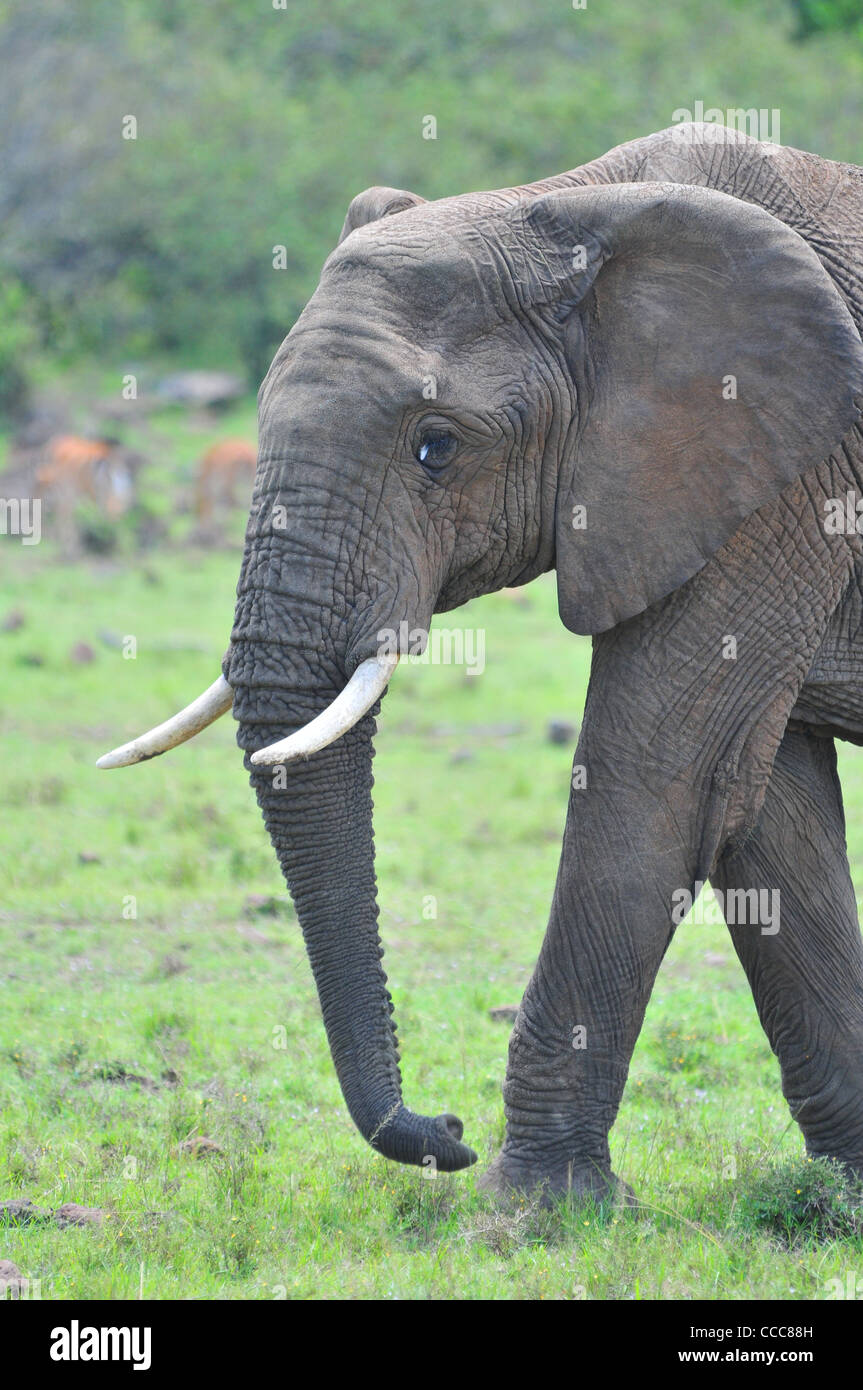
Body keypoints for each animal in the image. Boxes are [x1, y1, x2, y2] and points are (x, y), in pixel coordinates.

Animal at [98, 122, 863, 1203]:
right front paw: (842, 1196)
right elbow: (758, 810)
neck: (569, 206)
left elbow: (654, 778)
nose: (446, 1131)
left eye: (435, 447)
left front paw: (531, 1208)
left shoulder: (788, 467)